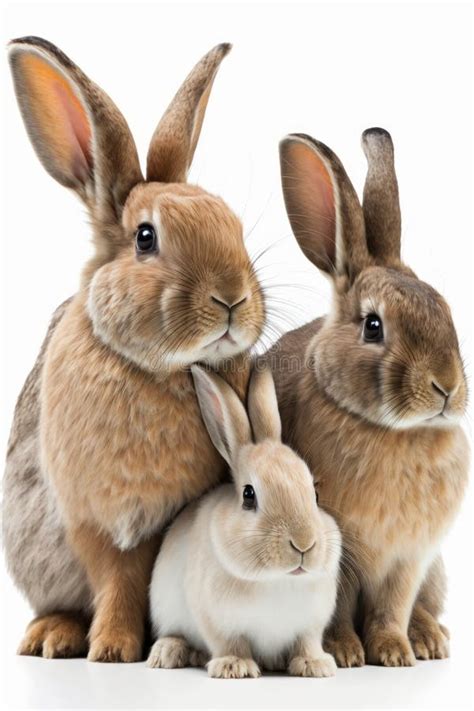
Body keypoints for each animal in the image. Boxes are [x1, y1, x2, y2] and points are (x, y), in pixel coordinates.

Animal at [3, 37, 265, 662]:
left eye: (234, 225)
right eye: (146, 238)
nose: (233, 299)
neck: (151, 369)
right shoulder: (92, 521)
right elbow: (116, 579)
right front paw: (114, 650)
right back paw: (53, 636)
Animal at [147, 365, 341, 678]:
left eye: (315, 494)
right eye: (248, 495)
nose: (303, 544)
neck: (277, 581)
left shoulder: (311, 625)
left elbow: (307, 643)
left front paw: (317, 666)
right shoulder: (217, 621)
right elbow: (230, 643)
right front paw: (234, 667)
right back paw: (167, 653)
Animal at [266, 129, 469, 667]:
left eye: (445, 311)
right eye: (373, 326)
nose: (446, 386)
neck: (390, 432)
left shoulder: (409, 559)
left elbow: (392, 607)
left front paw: (396, 652)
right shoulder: (342, 558)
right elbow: (337, 608)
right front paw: (345, 653)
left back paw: (431, 640)